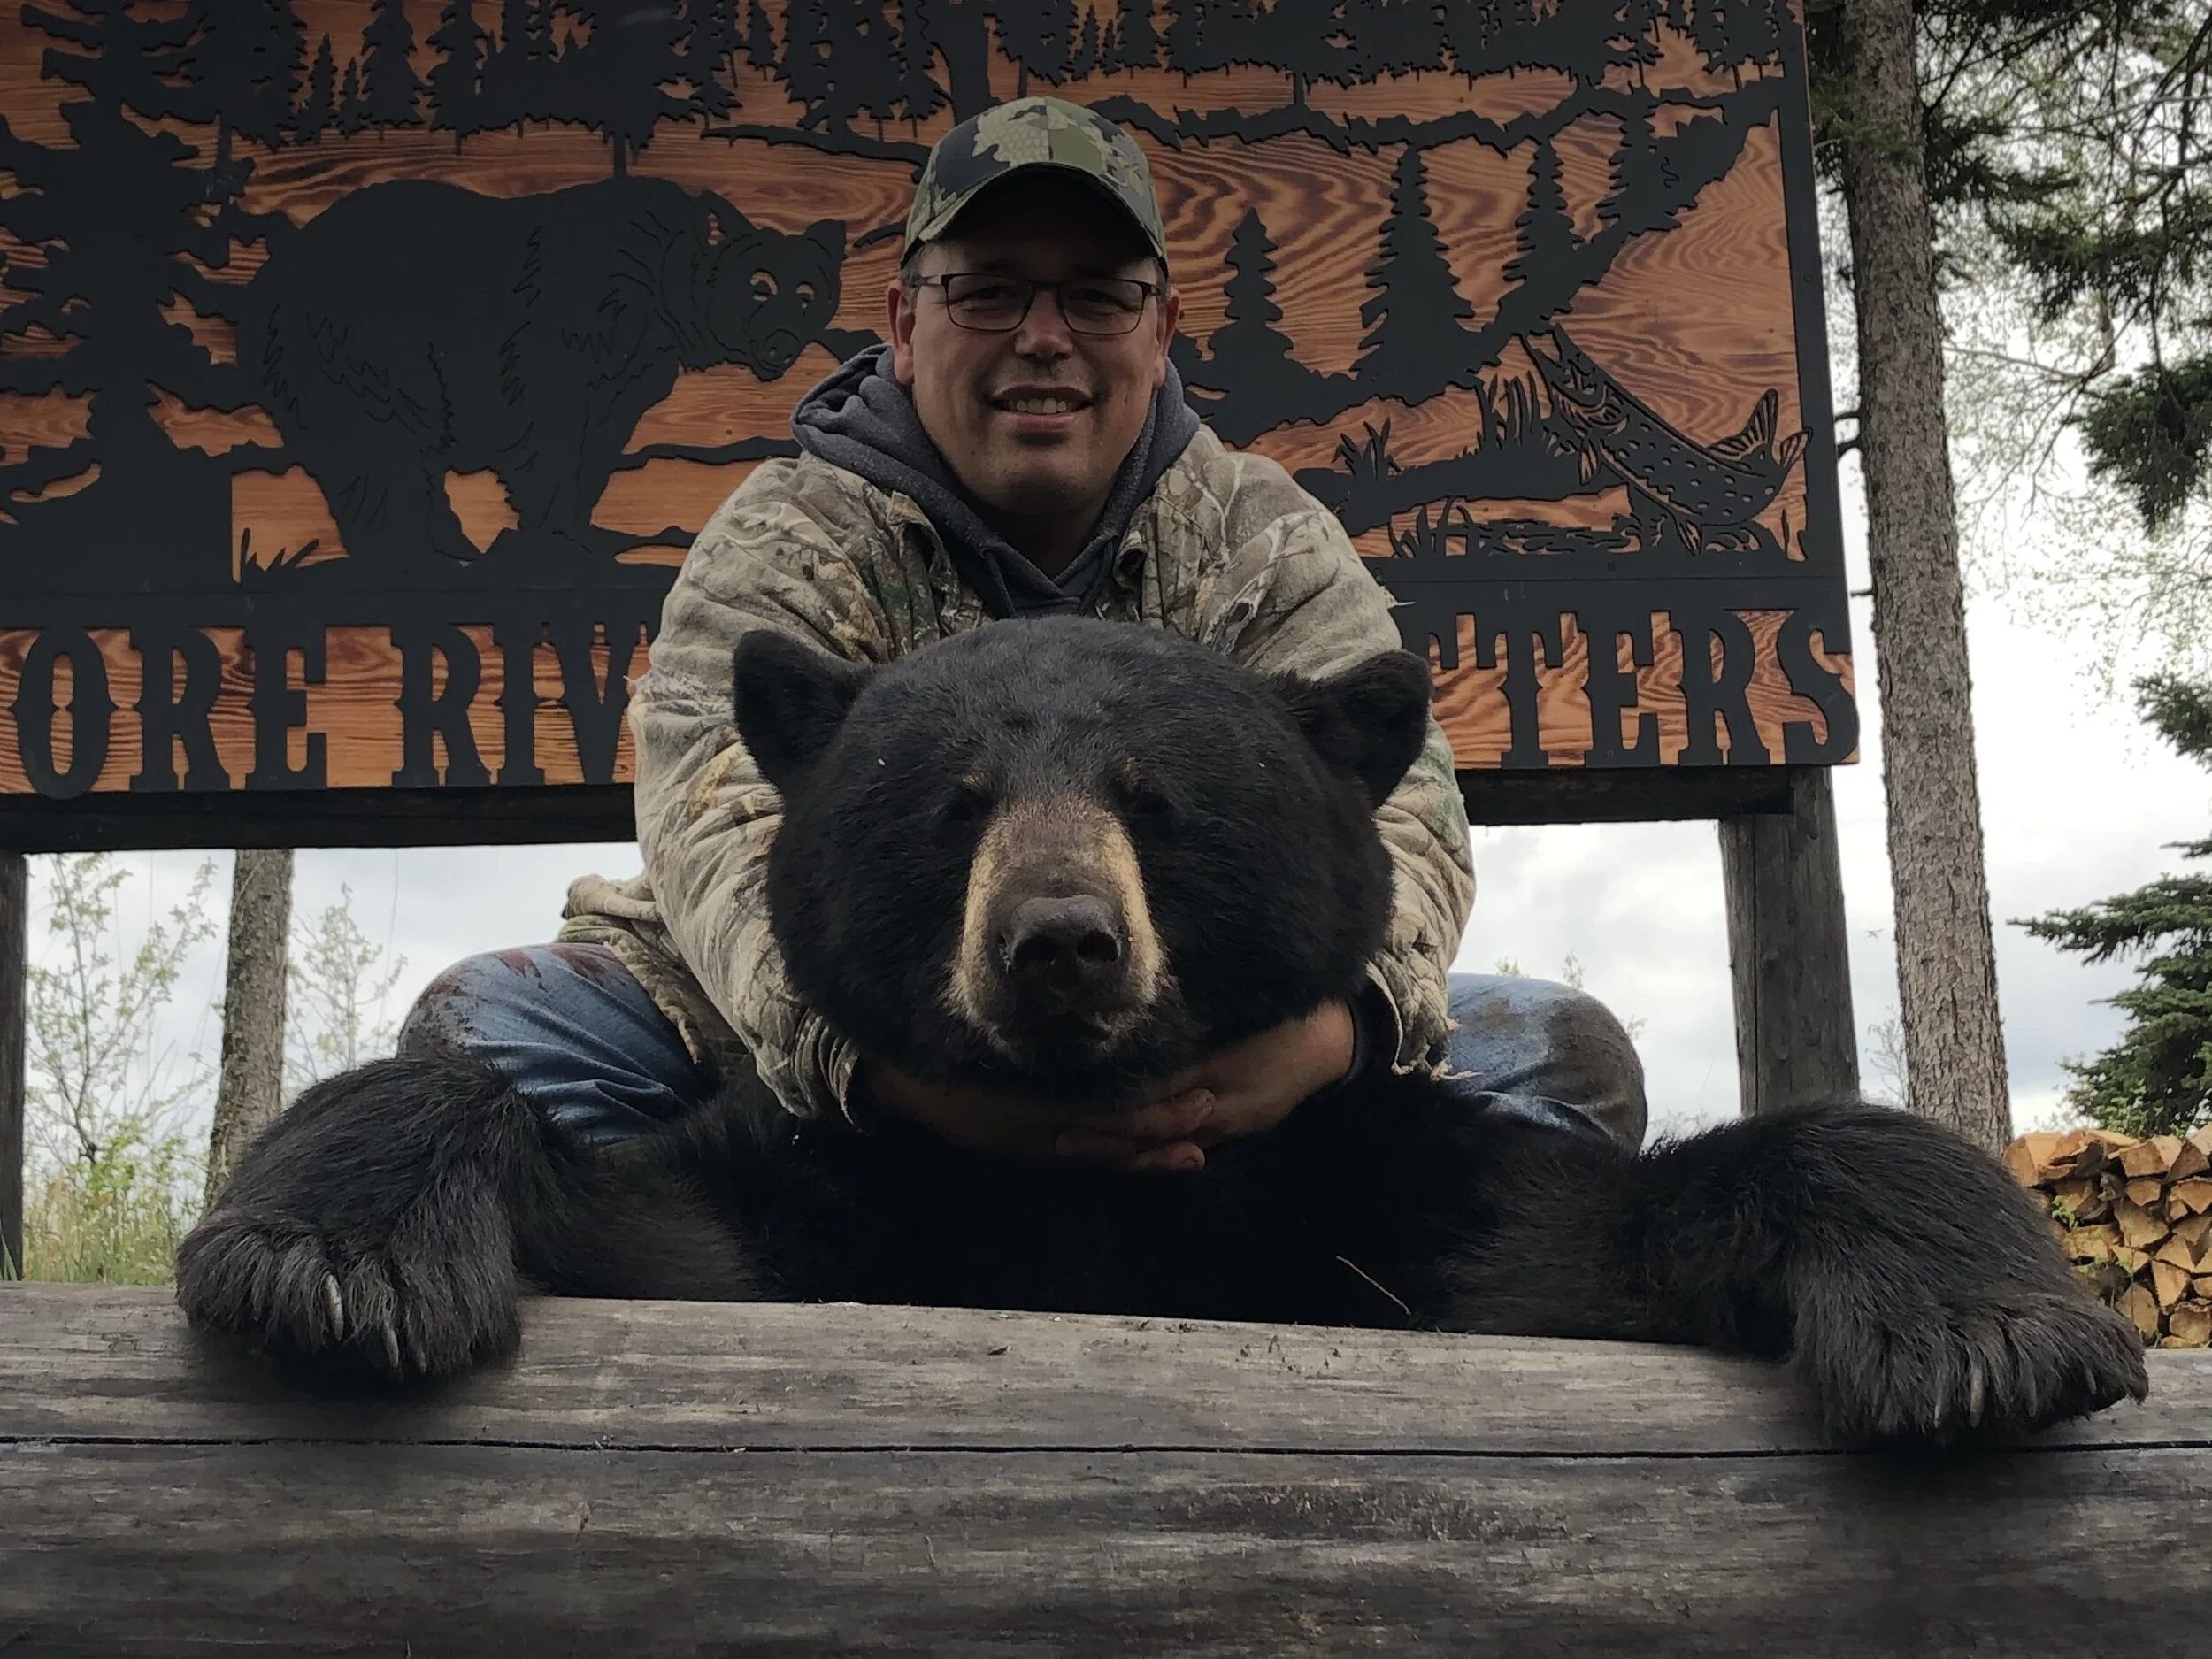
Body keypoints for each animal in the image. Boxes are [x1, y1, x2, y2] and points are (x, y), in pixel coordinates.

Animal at [176, 616, 2148, 1442]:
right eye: (954, 803)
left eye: (1157, 799)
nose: (1059, 946)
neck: (1097, 1181)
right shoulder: (847, 1182)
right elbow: (649, 1223)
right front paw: (331, 1258)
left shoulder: (1362, 1184)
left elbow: (1578, 1248)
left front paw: (1981, 1324)